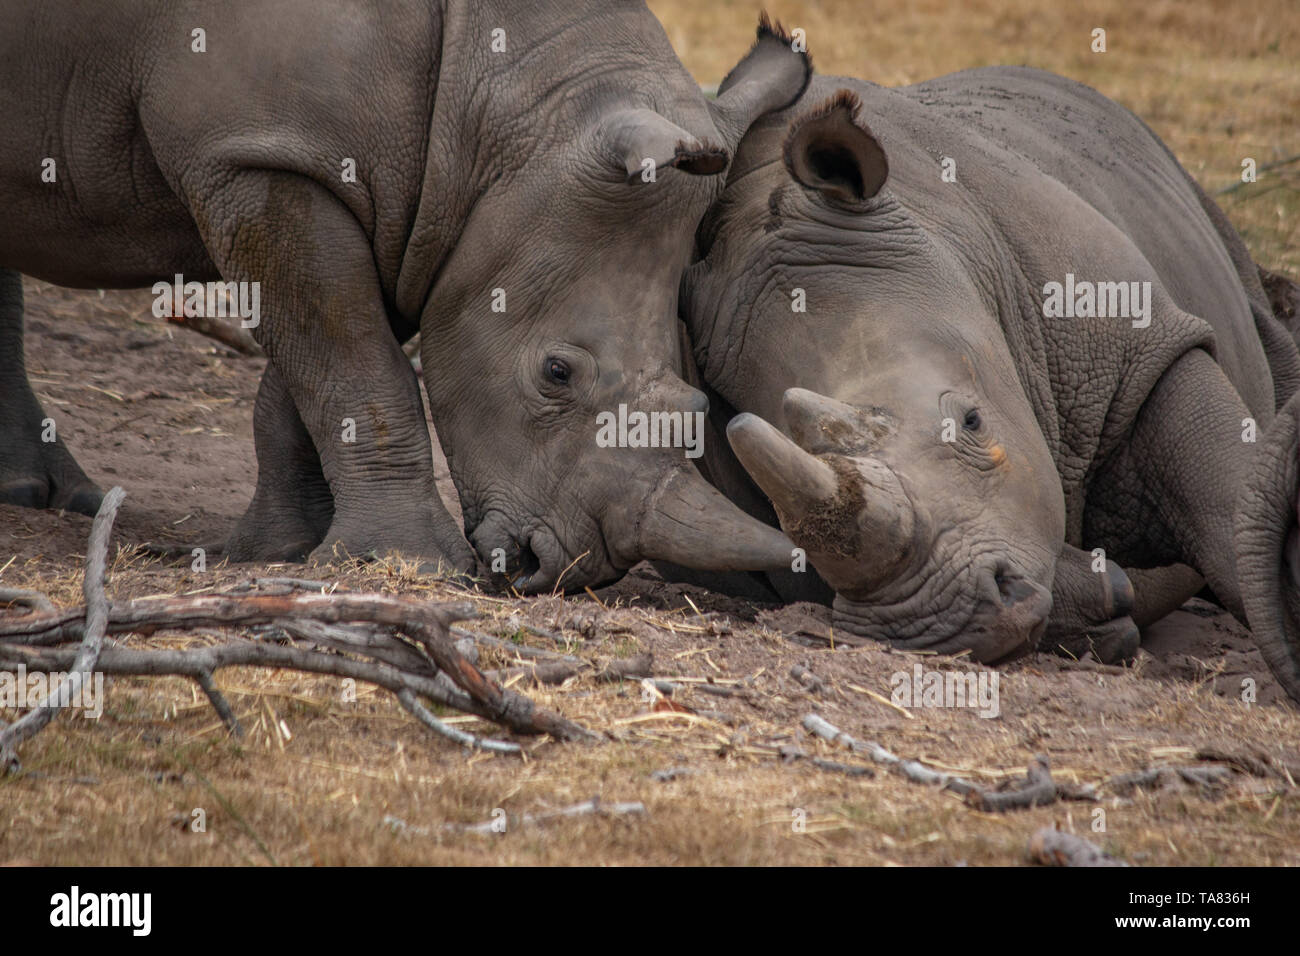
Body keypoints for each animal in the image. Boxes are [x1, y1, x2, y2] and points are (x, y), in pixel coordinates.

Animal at [0, 3, 804, 586]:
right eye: (556, 373)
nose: (561, 568)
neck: (502, 108)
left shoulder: (400, 204)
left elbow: (314, 374)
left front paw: (275, 552)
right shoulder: (261, 154)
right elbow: (353, 358)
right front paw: (407, 564)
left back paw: (38, 496)